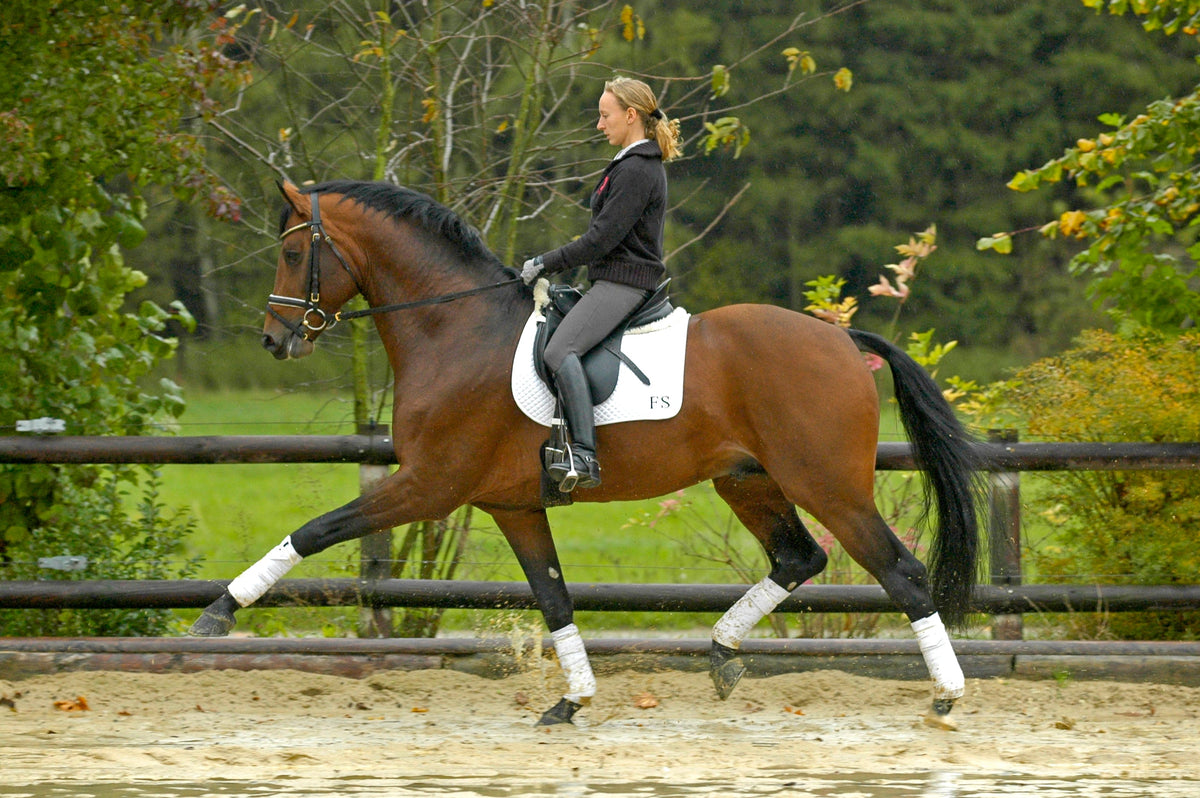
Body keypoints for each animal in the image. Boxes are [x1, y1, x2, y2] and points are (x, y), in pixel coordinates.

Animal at [190, 179, 984, 729]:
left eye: (294, 252)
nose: (275, 340)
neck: (455, 328)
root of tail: (843, 340)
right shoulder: (510, 505)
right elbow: (554, 598)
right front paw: (573, 701)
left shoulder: (428, 485)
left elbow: (314, 530)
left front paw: (218, 614)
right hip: (748, 481)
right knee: (799, 557)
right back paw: (723, 655)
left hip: (828, 486)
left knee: (901, 572)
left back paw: (946, 697)